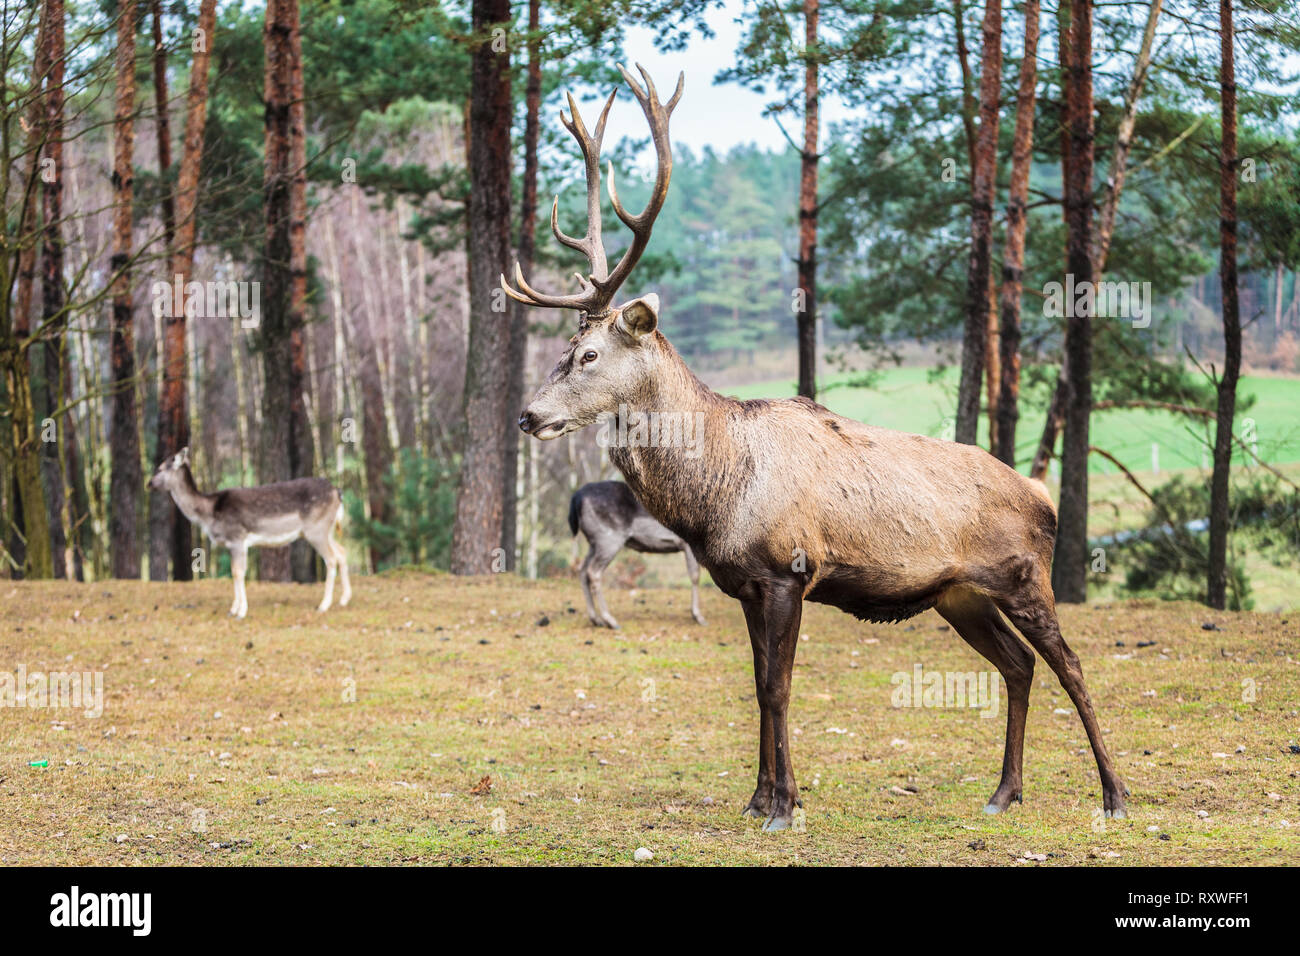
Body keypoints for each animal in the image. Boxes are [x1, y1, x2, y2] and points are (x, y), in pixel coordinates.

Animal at [147, 448, 350, 618]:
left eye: (160, 468)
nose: (148, 484)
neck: (209, 514)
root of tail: (338, 492)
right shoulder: (233, 543)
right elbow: (234, 571)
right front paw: (232, 609)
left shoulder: (237, 537)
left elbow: (238, 572)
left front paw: (240, 611)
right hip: (326, 530)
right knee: (341, 552)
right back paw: (344, 600)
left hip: (316, 530)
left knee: (331, 559)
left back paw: (323, 605)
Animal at [569, 480, 706, 629]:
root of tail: (576, 498)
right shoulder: (688, 544)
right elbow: (695, 575)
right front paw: (698, 616)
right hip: (608, 539)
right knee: (593, 571)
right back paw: (610, 620)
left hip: (594, 543)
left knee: (582, 570)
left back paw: (596, 619)